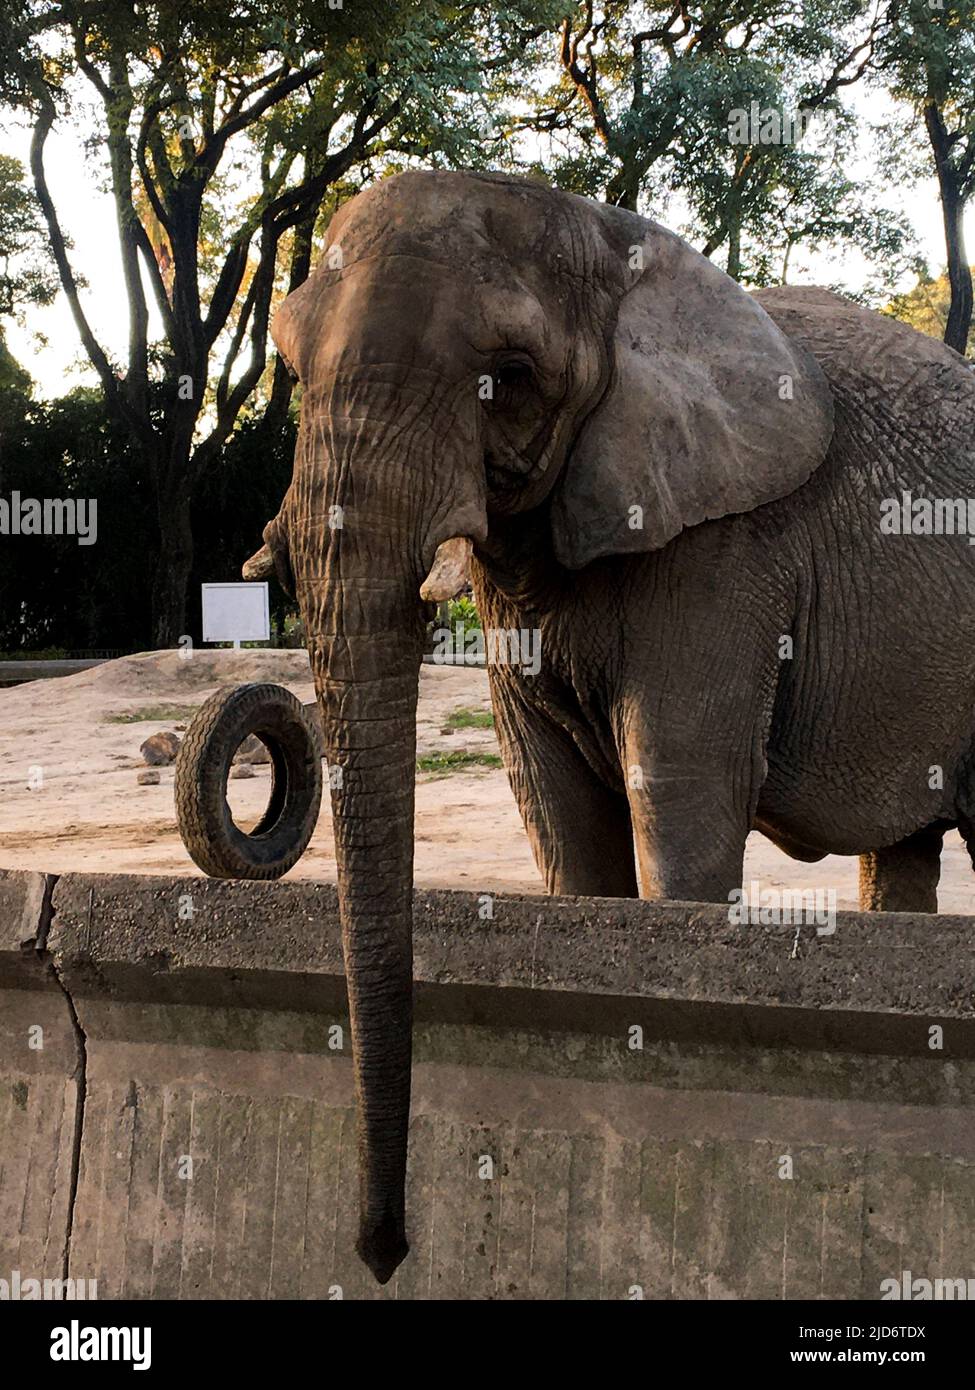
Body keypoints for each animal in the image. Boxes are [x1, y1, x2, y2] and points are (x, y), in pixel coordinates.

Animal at [235, 169, 975, 1283]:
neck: (607, 232)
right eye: (286, 362)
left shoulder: (727, 545)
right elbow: (558, 812)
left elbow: (676, 796)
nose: (384, 1250)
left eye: (508, 374)